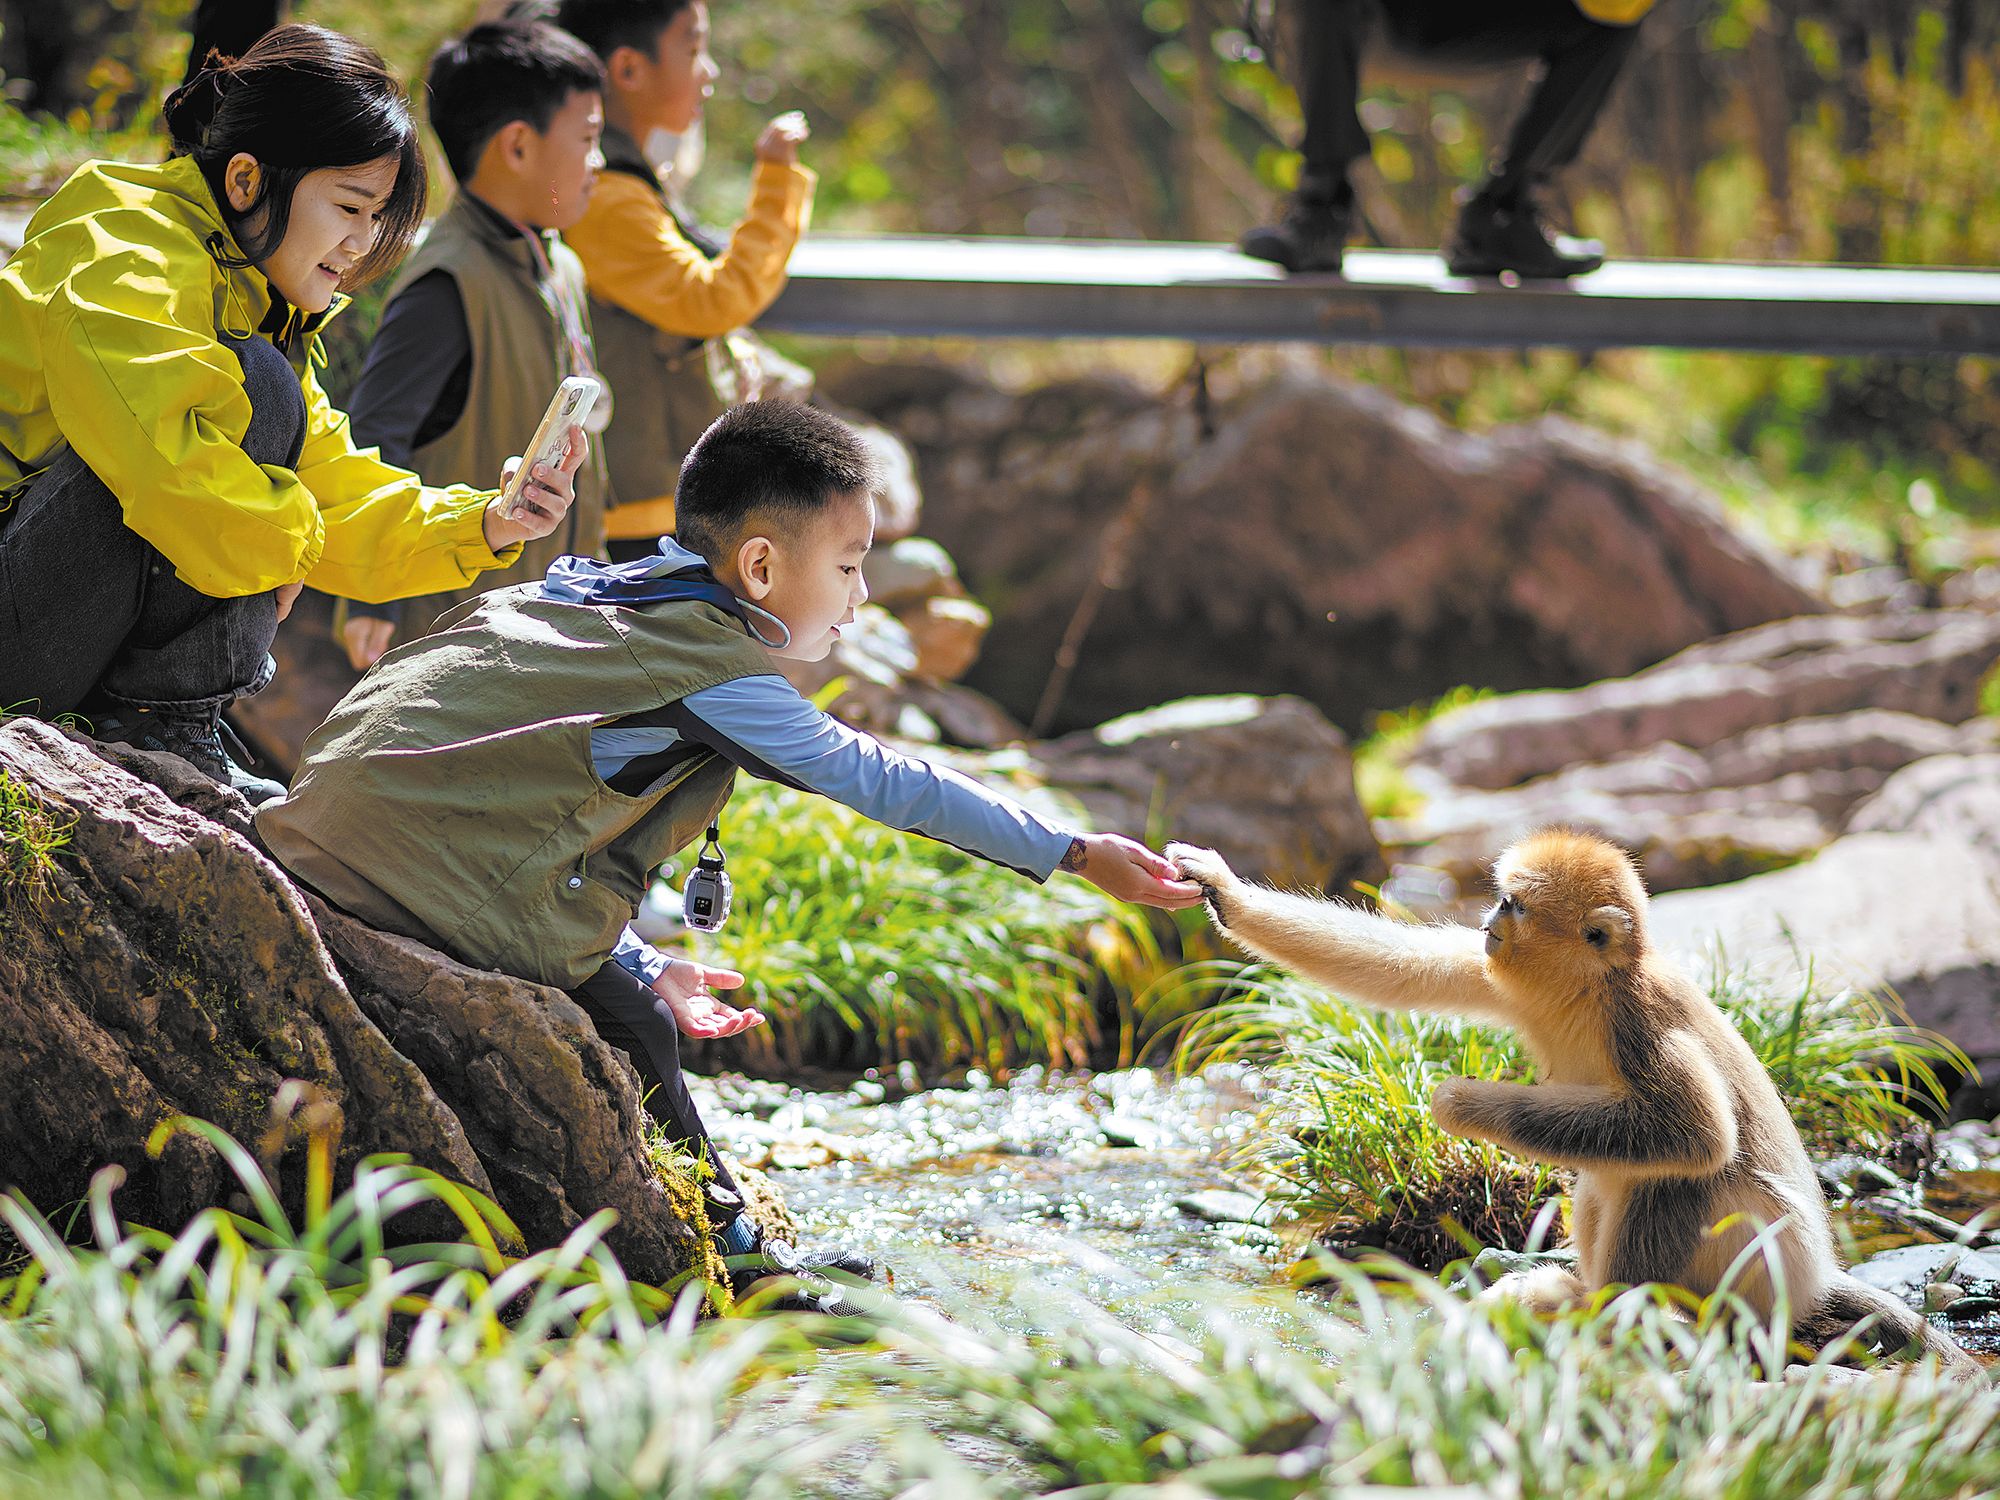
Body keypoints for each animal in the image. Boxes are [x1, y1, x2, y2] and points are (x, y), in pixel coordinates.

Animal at [1167, 829, 1980, 1378]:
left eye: (1516, 904)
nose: (1490, 922)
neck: (1590, 993)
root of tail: (1817, 1276)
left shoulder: (1644, 1026)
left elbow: (1699, 1137)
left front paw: (1464, 1103)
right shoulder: (1503, 976)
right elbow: (1401, 969)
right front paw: (1223, 891)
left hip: (1765, 1260)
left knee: (1681, 1178)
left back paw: (1601, 1307)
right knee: (1603, 1178)